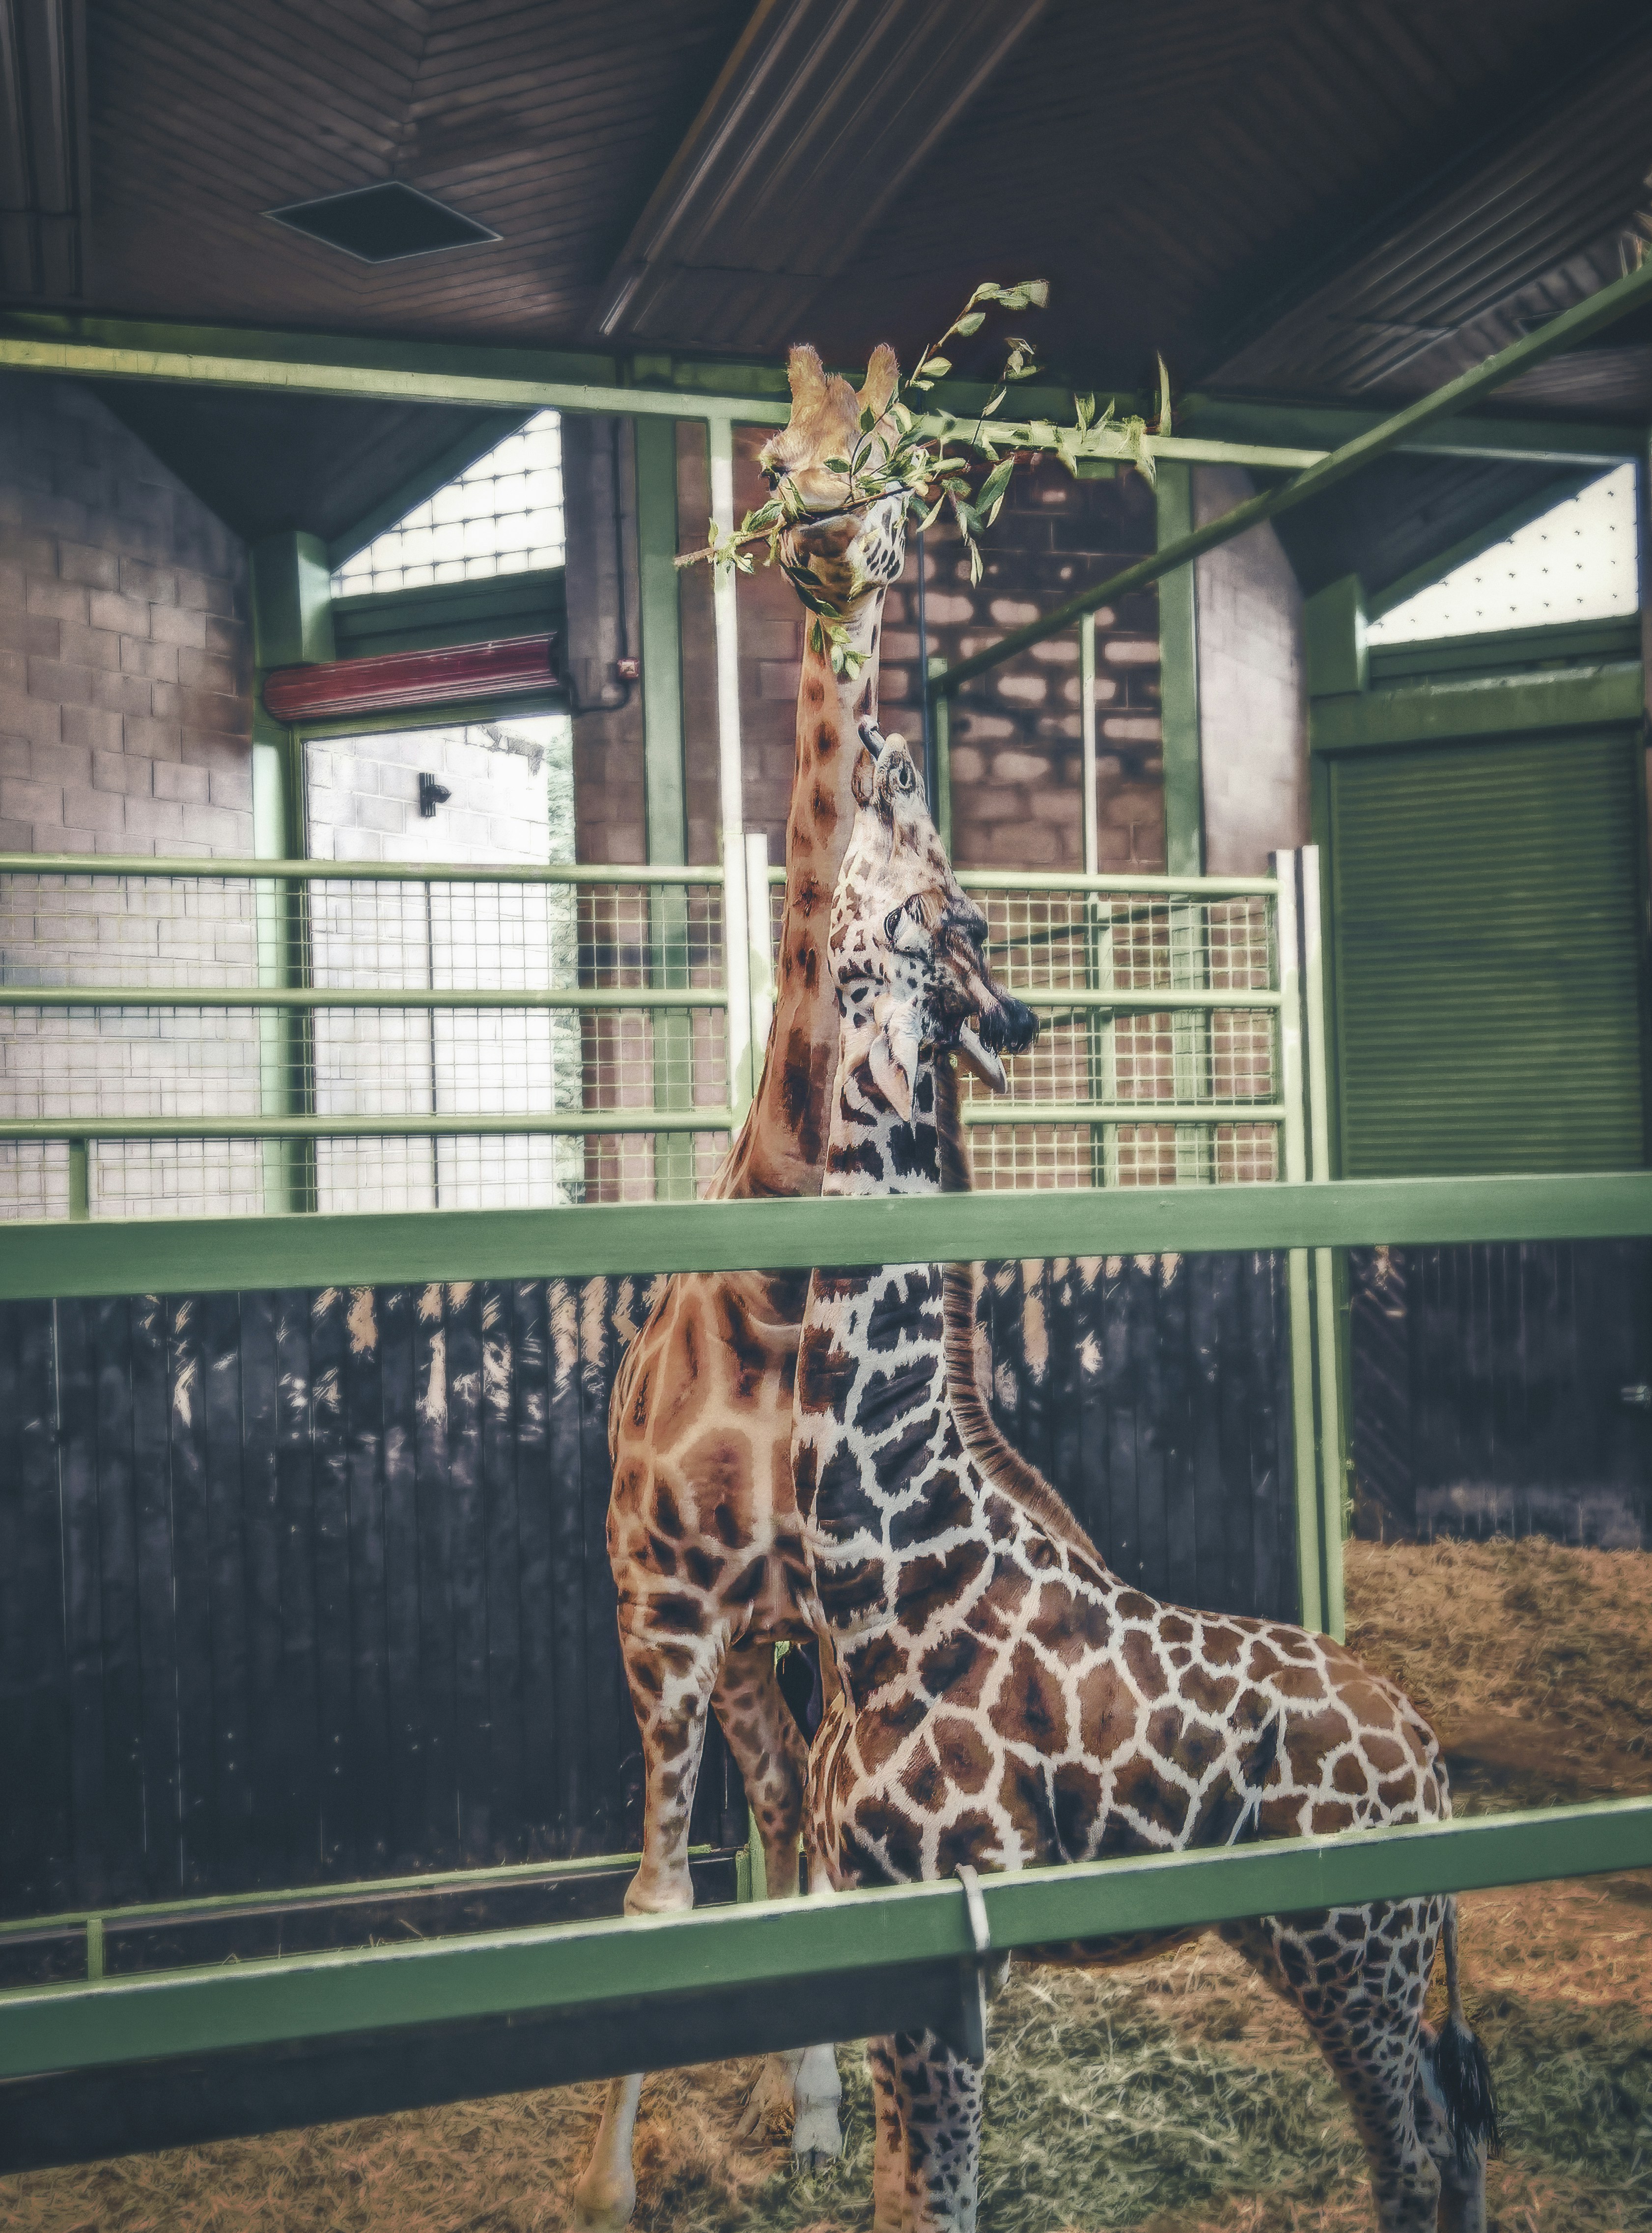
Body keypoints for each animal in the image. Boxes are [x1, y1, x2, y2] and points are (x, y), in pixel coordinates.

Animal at [793, 725, 1499, 2233]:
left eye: (944, 905)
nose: (883, 745)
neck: (879, 1577)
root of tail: (1425, 1751)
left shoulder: (953, 1957)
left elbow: (940, 2203)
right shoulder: (882, 1946)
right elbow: (898, 2200)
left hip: (1351, 1955)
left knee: (1413, 2157)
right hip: (1340, 1953)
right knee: (1449, 2133)